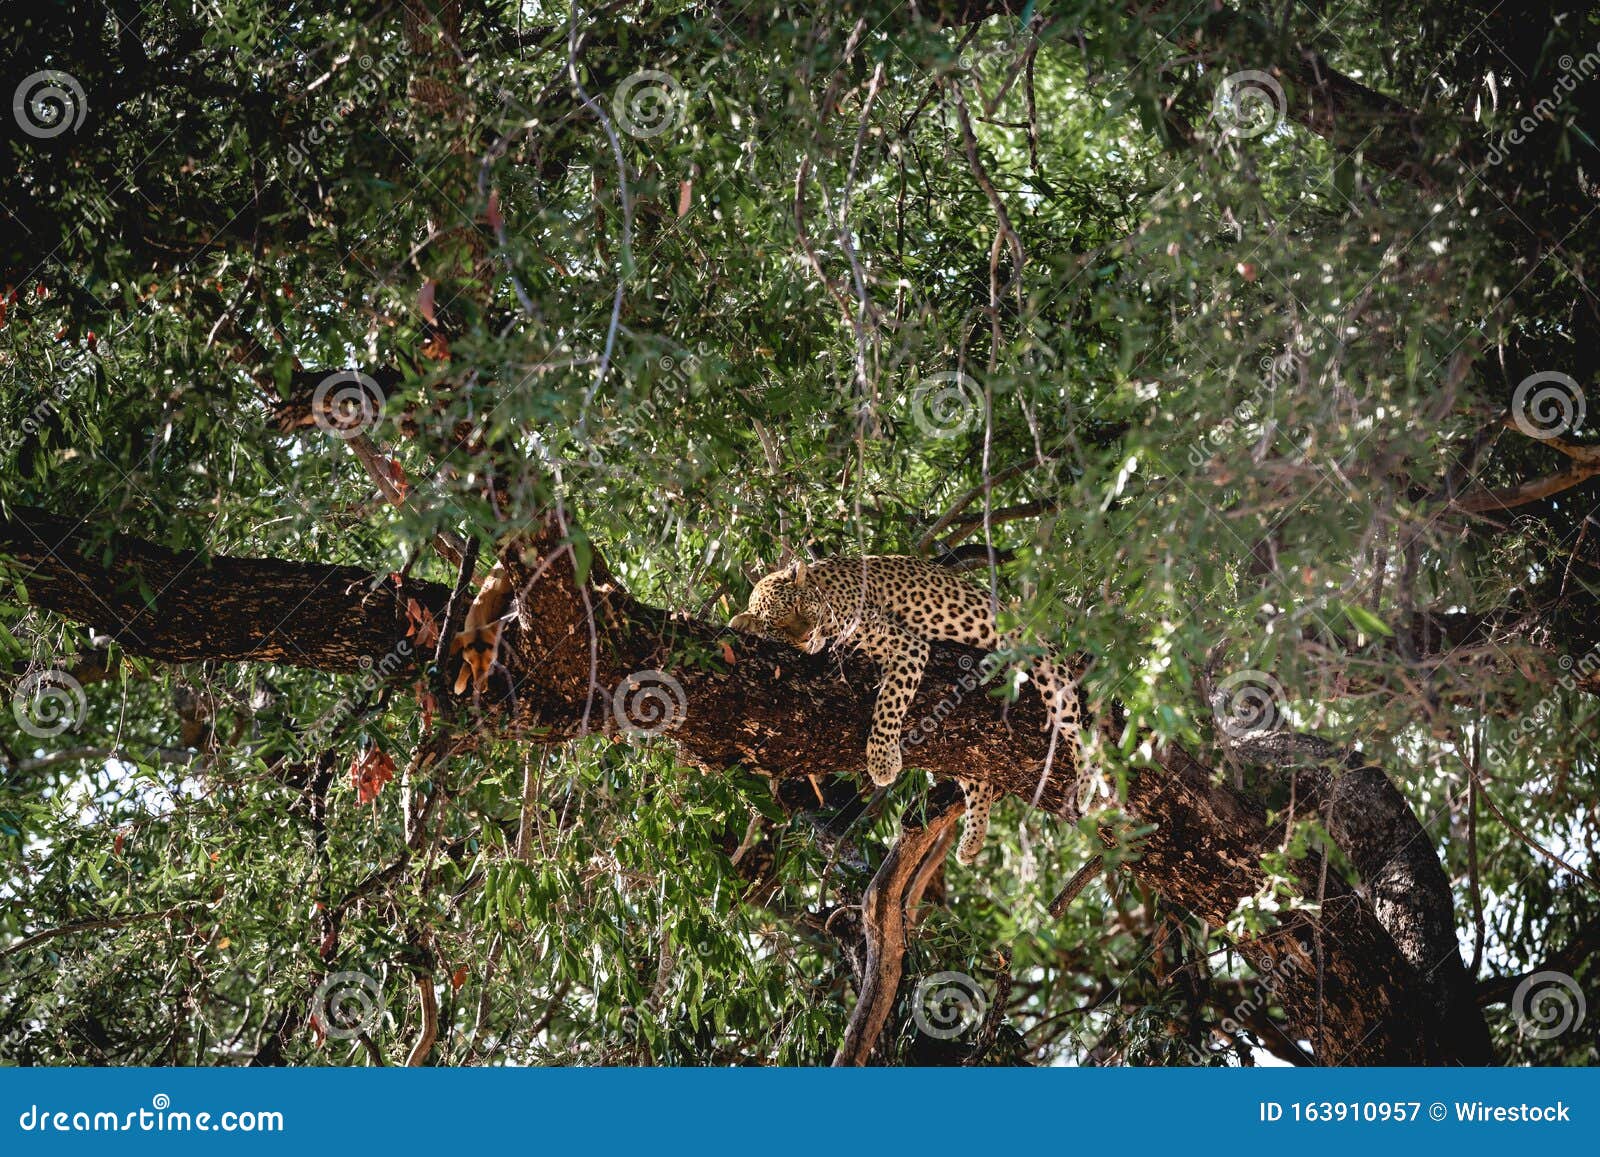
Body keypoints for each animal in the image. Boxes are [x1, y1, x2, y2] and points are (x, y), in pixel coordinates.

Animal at [728, 555, 1081, 865]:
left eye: (799, 608)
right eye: (779, 627)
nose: (807, 636)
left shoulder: (907, 646)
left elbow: (890, 701)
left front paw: (882, 760)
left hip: (1043, 661)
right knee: (979, 780)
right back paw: (972, 841)